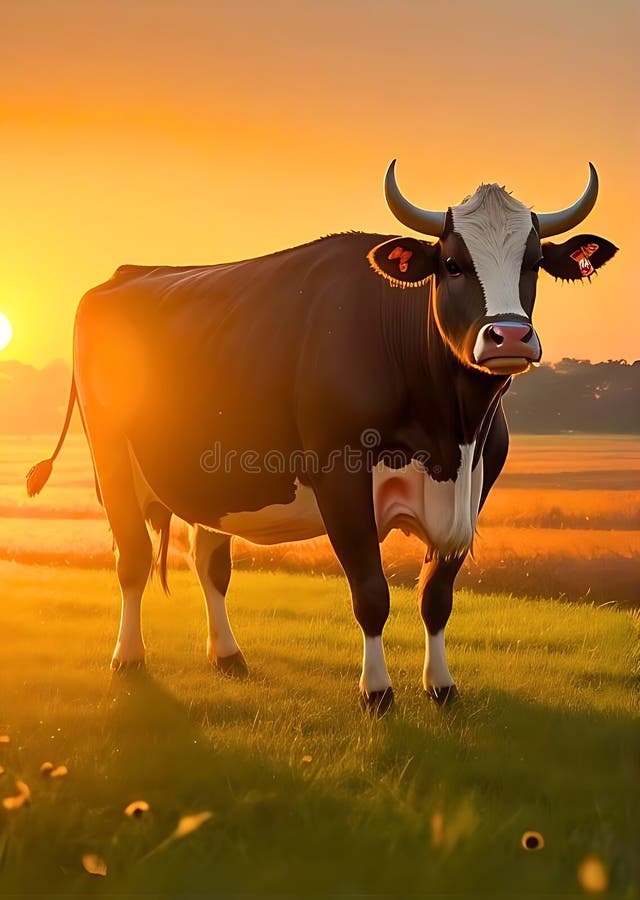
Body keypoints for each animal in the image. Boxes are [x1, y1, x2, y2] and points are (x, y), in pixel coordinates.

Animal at [27, 162, 617, 715]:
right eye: (452, 263)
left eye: (533, 262)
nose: (509, 337)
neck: (454, 430)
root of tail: (126, 274)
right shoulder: (340, 474)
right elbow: (371, 592)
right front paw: (377, 692)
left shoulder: (477, 485)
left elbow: (436, 595)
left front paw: (442, 686)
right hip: (111, 458)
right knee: (132, 558)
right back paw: (129, 658)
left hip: (208, 480)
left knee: (209, 562)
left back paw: (227, 655)